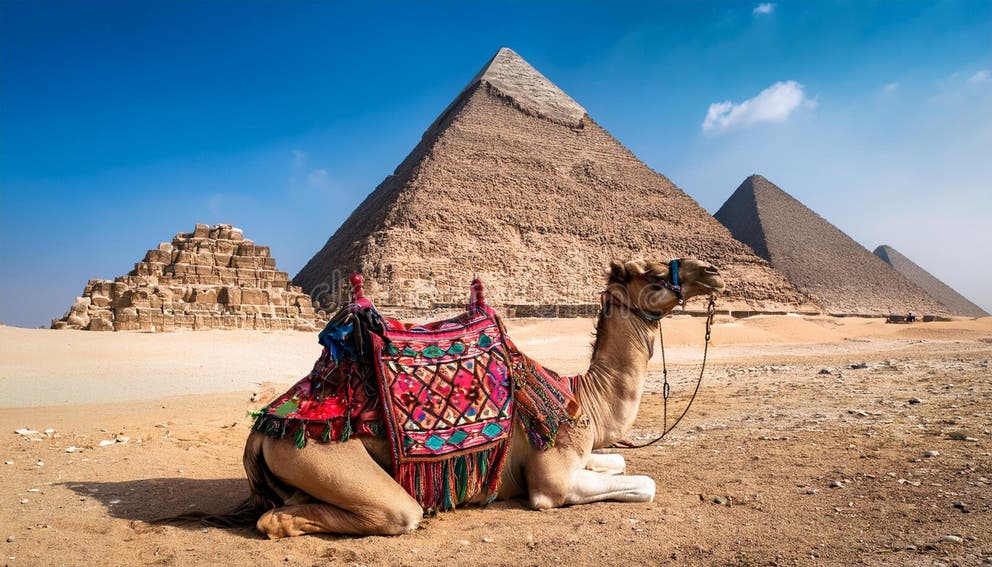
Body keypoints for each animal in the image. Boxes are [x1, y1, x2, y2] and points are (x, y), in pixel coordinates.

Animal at [232, 258, 724, 538]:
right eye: (656, 276)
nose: (713, 272)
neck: (583, 400)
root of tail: (261, 430)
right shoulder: (551, 483)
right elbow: (645, 485)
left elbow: (620, 462)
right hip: (324, 454)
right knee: (386, 514)